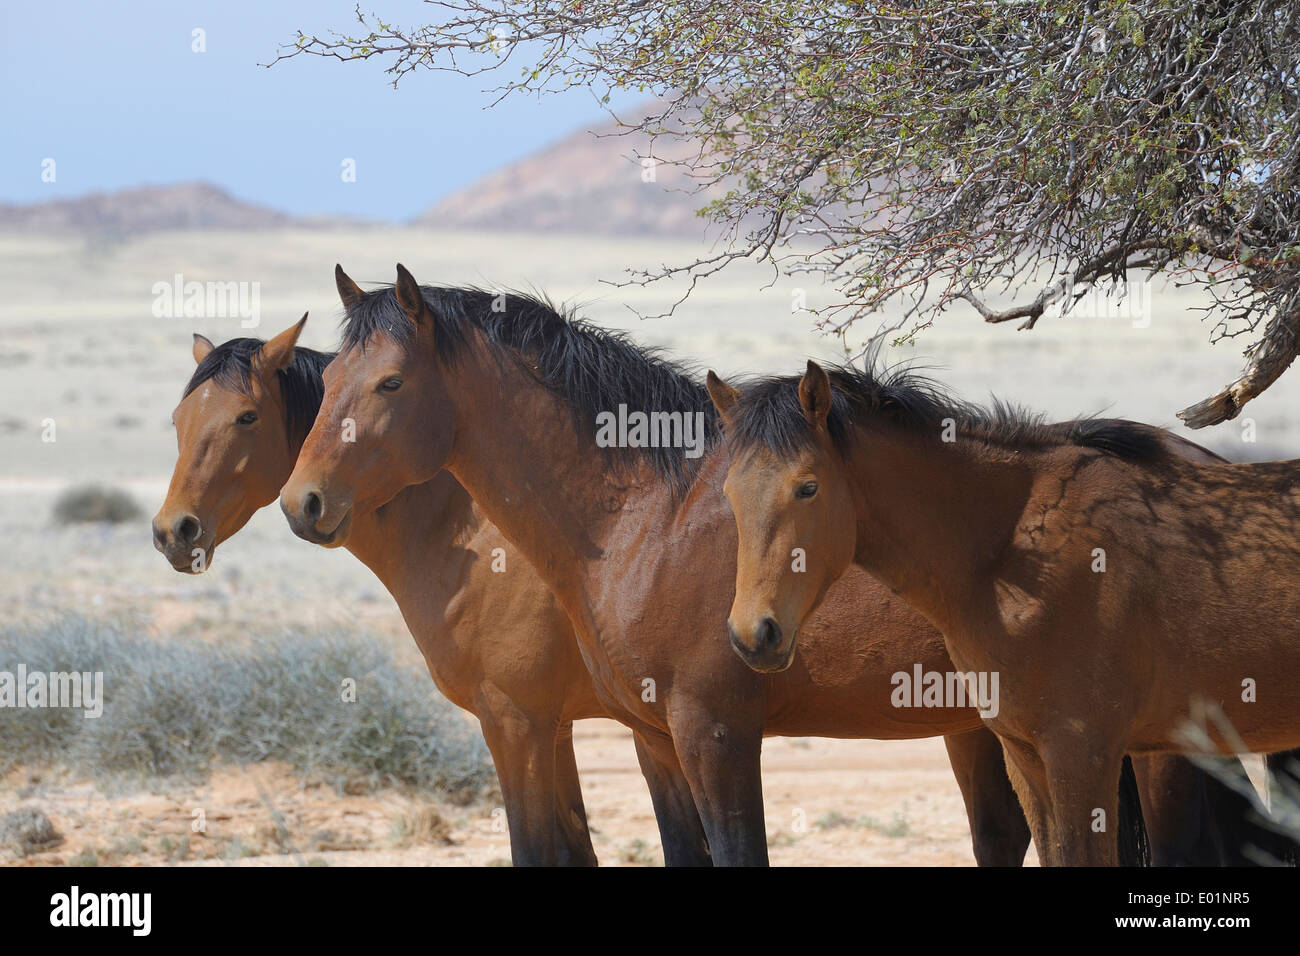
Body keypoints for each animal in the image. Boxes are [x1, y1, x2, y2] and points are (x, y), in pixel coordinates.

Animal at [706, 358, 1300, 865]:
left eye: (807, 487)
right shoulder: (1026, 757)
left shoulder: (1081, 757)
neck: (1011, 557)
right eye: (730, 494)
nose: (753, 634)